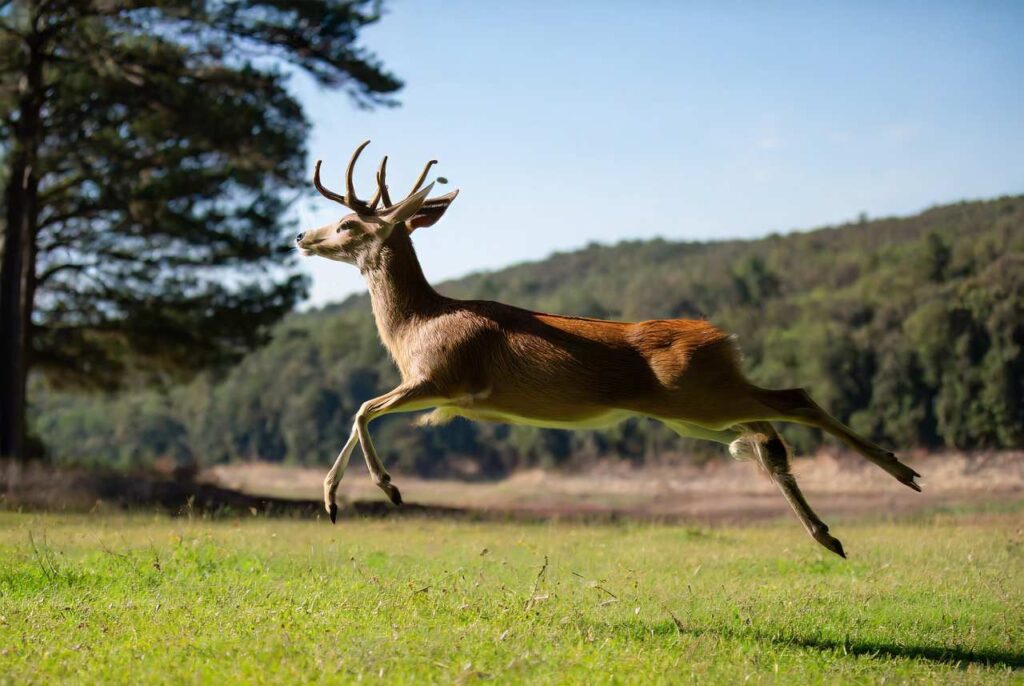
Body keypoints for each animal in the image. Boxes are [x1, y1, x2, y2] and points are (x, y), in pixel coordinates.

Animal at [296, 141, 921, 558]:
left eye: (348, 223)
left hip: (699, 397)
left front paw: (383, 489)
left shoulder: (442, 377)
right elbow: (362, 412)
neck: (415, 324)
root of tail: (723, 338)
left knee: (795, 398)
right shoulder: (437, 390)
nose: (302, 236)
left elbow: (362, 409)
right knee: (767, 436)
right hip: (692, 412)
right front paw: (332, 501)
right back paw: (828, 533)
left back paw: (901, 473)